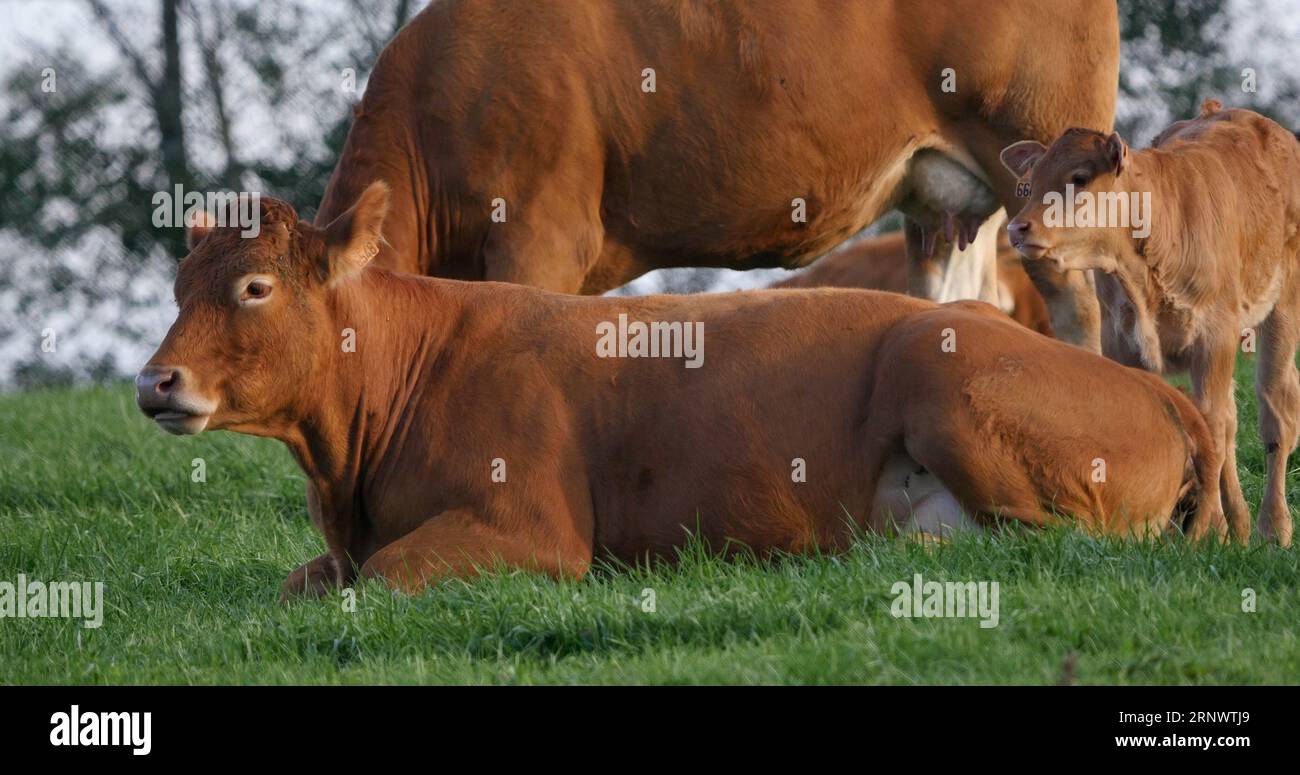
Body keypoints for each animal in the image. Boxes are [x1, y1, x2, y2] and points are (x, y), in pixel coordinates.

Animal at [1000, 101, 1300, 547]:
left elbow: (1211, 425)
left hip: (1282, 310)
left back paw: (1272, 528)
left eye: (1079, 179)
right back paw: (1240, 524)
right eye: (1029, 185)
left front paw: (1207, 529)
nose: (1018, 228)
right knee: (1231, 420)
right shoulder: (1119, 340)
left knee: (1274, 413)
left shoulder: (1215, 337)